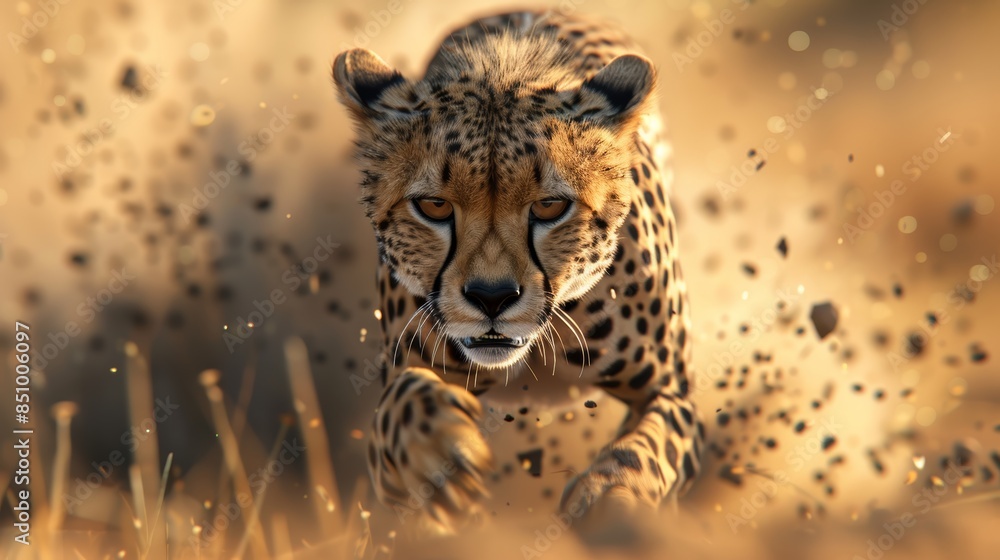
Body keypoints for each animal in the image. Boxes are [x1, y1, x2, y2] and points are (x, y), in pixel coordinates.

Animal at [332, 10, 704, 533]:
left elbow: (650, 447)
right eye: (434, 206)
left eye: (550, 206)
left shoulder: (673, 391)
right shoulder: (395, 417)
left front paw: (611, 496)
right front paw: (439, 451)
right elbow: (403, 399)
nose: (492, 298)